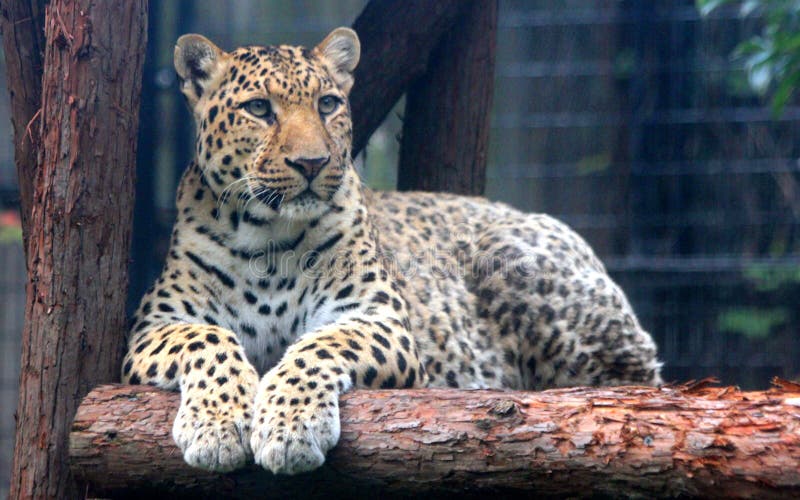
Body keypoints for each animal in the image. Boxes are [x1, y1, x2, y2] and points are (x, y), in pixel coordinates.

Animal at [122, 27, 662, 476]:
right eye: (258, 109)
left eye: (328, 104)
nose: (313, 163)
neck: (268, 238)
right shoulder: (155, 324)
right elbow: (207, 340)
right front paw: (217, 427)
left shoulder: (378, 319)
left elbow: (317, 348)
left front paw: (289, 428)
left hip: (516, 259)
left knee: (634, 378)